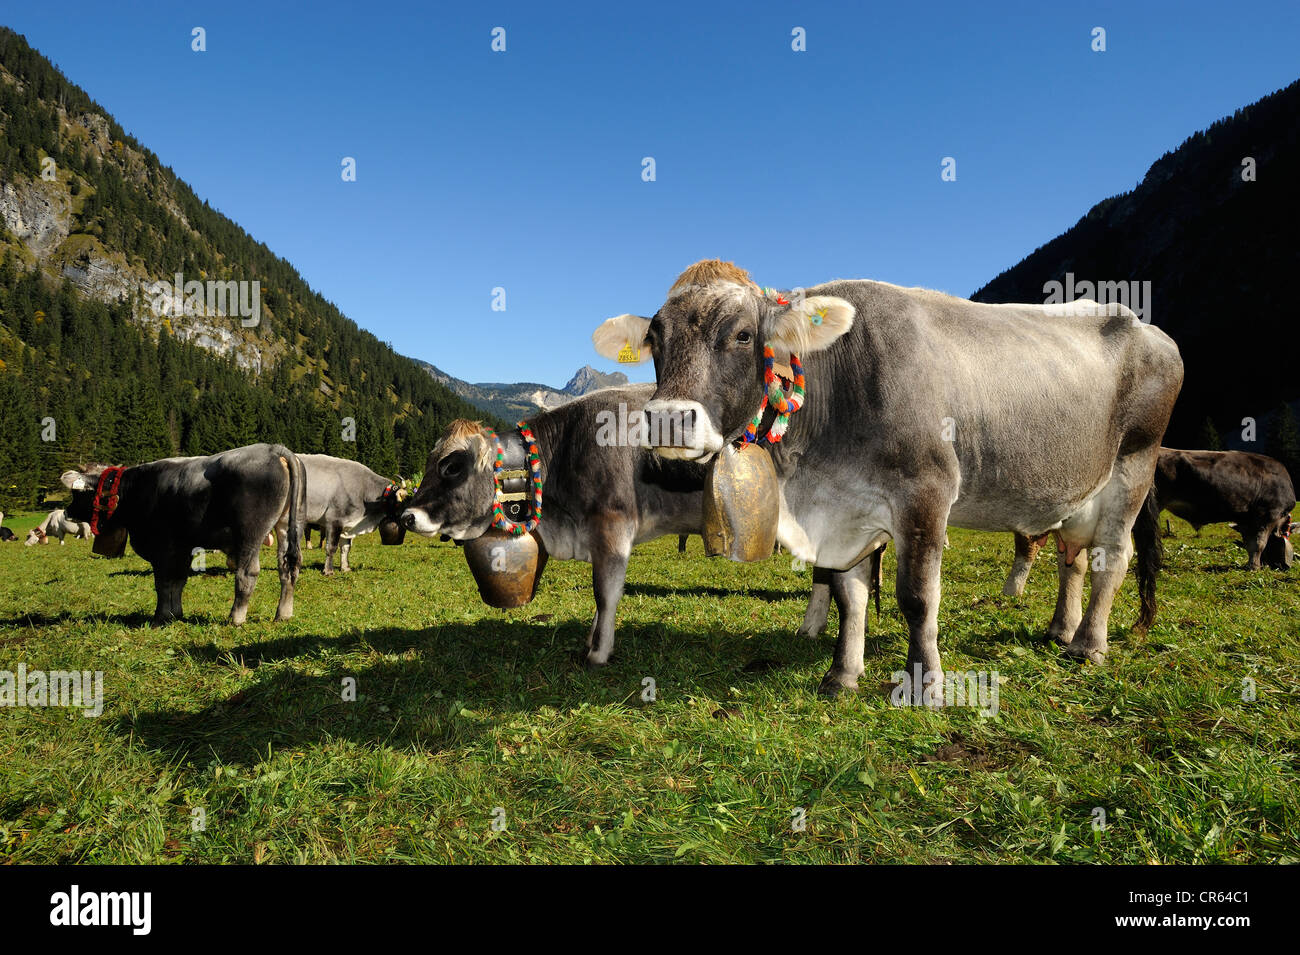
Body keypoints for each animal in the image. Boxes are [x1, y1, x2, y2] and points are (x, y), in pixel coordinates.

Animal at [60, 443, 306, 625]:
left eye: (77, 493)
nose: (67, 511)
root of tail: (273, 449)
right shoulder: (182, 546)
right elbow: (178, 580)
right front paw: (175, 613)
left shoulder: (161, 546)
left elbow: (163, 582)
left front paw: (161, 616)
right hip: (287, 525)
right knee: (288, 567)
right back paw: (283, 614)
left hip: (250, 532)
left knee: (248, 573)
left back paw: (236, 618)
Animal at [595, 260, 1183, 697]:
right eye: (655, 338)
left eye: (741, 335)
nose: (668, 419)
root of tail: (1144, 324)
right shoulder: (845, 514)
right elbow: (849, 594)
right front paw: (842, 674)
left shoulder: (926, 494)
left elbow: (917, 598)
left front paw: (926, 684)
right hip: (1076, 486)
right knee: (1074, 556)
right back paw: (1062, 629)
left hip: (1132, 466)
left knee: (1114, 556)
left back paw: (1089, 644)